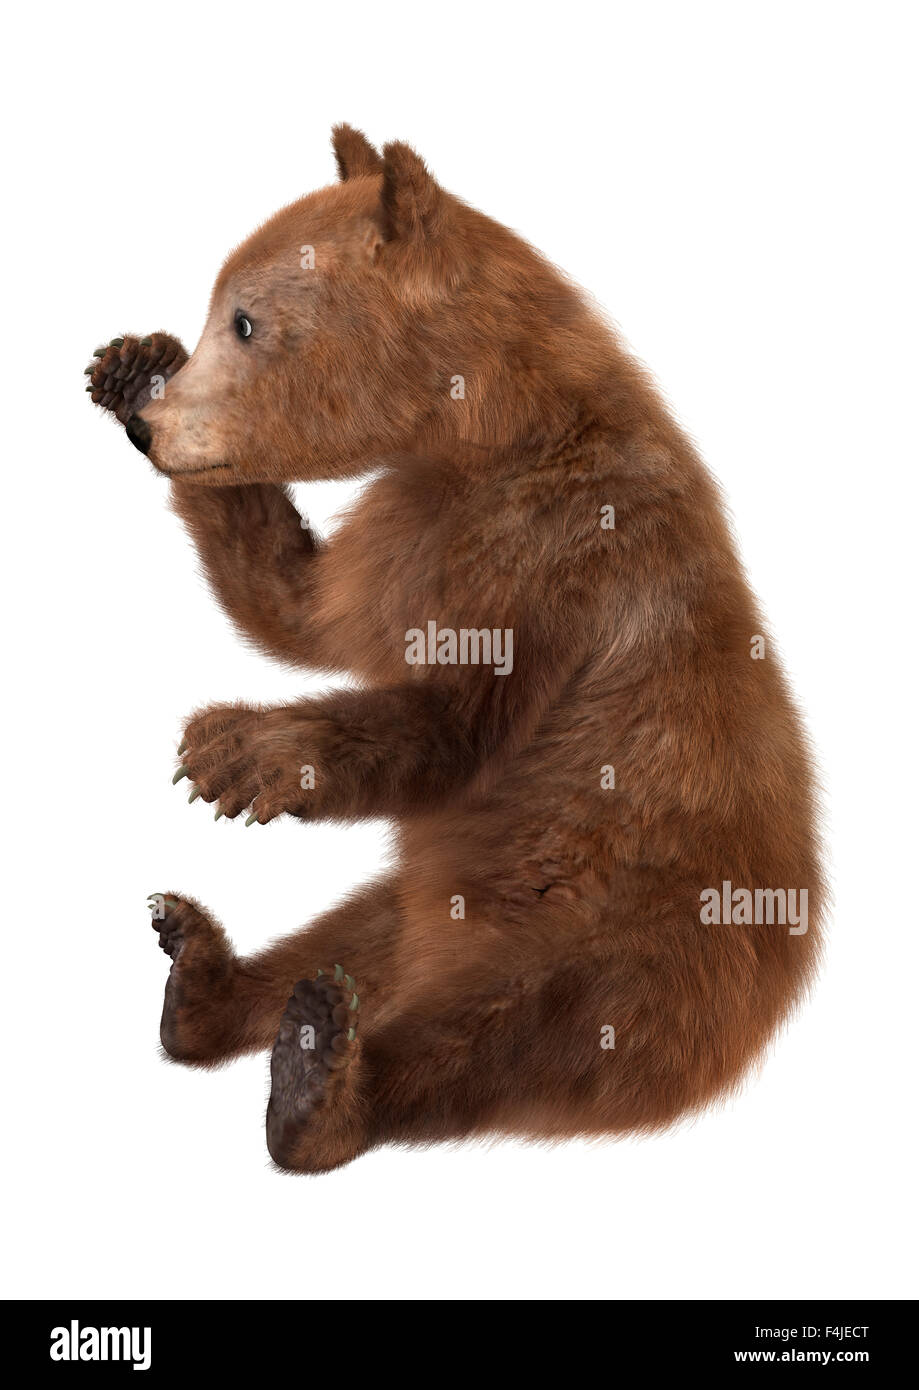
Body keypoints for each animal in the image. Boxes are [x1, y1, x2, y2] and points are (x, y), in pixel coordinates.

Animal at [85, 124, 824, 1173]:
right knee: (355, 931)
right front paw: (129, 366)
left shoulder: (551, 551)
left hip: (632, 936)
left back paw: (321, 1087)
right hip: (434, 891)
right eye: (217, 311)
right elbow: (298, 605)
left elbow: (451, 720)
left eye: (246, 323)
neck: (480, 439)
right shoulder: (403, 531)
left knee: (513, 1033)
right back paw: (207, 985)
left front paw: (232, 747)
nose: (153, 431)